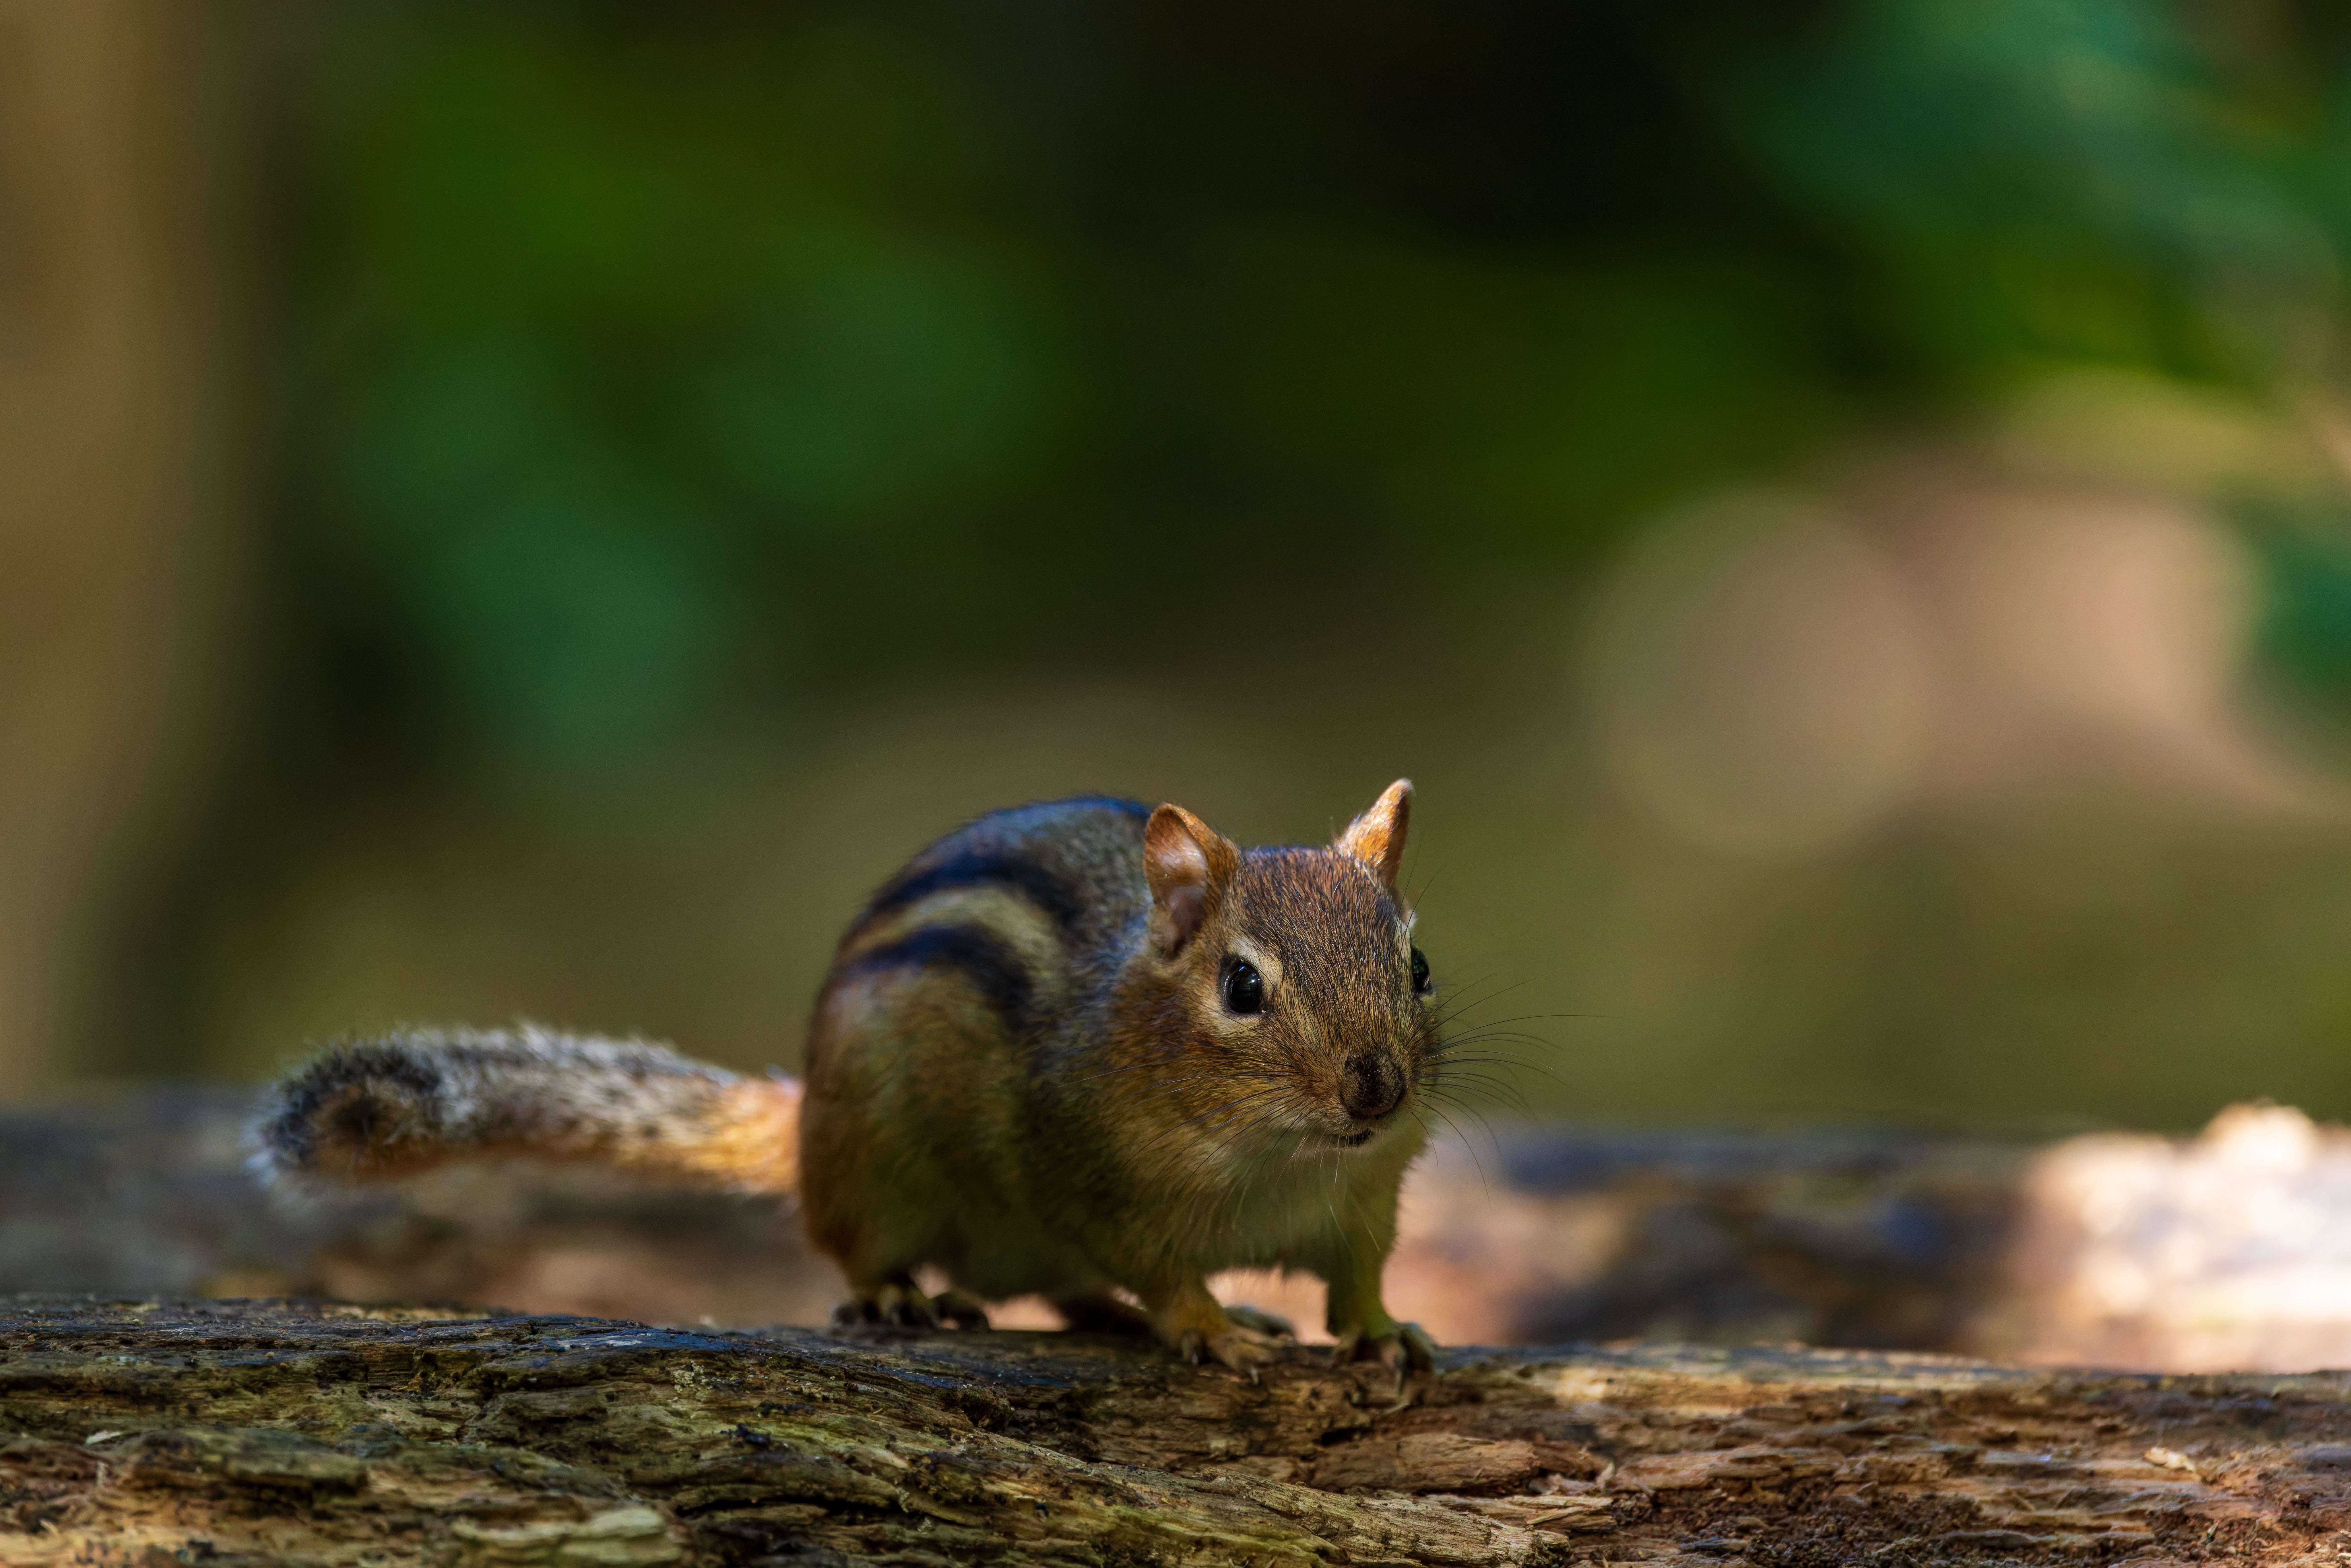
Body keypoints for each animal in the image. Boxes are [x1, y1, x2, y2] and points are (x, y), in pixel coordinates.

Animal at [252, 780, 1440, 1378]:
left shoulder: (1363, 1201)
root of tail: (806, 1124)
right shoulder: (1104, 1186)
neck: (1281, 1160)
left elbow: (1358, 1275)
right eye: (1241, 986)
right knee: (859, 1242)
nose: (1376, 1088)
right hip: (877, 1164)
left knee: (1061, 1286)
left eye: (1417, 965)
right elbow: (1163, 1271)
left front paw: (1383, 1330)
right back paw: (898, 1294)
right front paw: (1206, 1326)